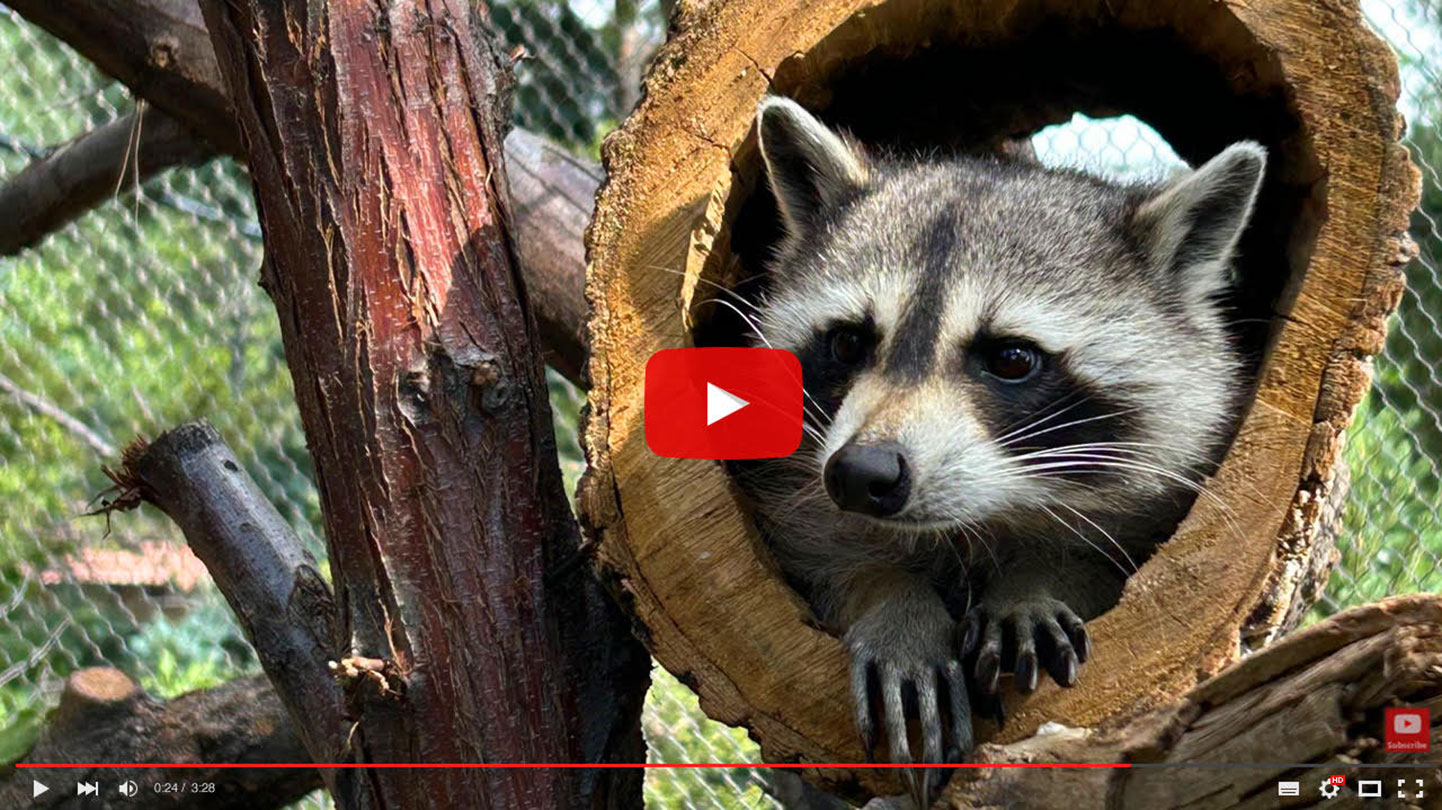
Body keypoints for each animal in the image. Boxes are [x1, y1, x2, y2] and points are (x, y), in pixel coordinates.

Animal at [735, 97, 1264, 775]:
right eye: (849, 342)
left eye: (1012, 358)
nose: (860, 473)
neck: (981, 519)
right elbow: (824, 557)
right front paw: (891, 600)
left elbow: (1100, 563)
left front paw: (1034, 583)